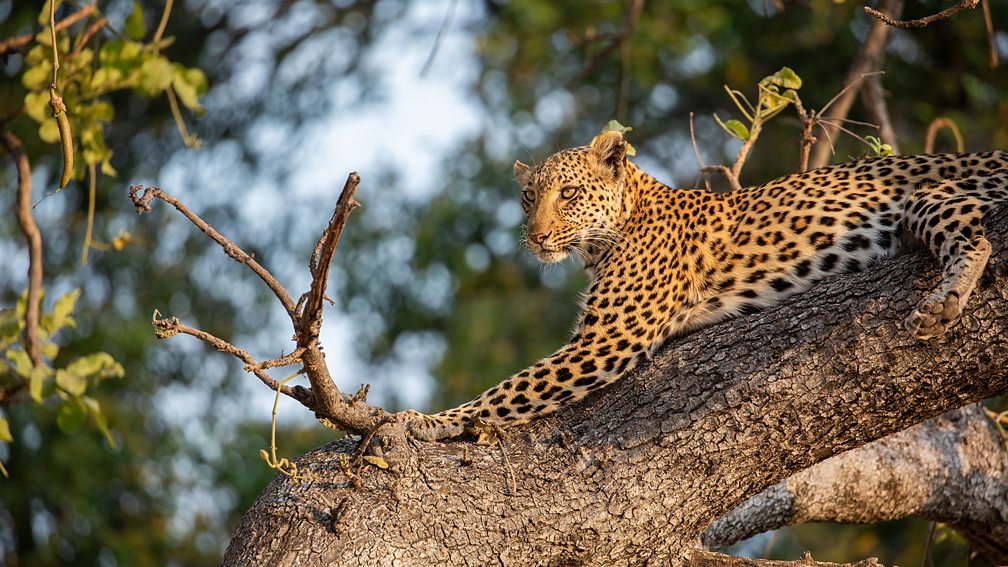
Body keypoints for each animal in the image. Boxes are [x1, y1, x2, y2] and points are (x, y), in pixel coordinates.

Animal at [401, 130, 1008, 442]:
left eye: (568, 194)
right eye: (529, 198)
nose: (536, 236)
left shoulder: (604, 340)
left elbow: (505, 391)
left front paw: (420, 422)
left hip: (928, 197)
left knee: (975, 237)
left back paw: (943, 303)